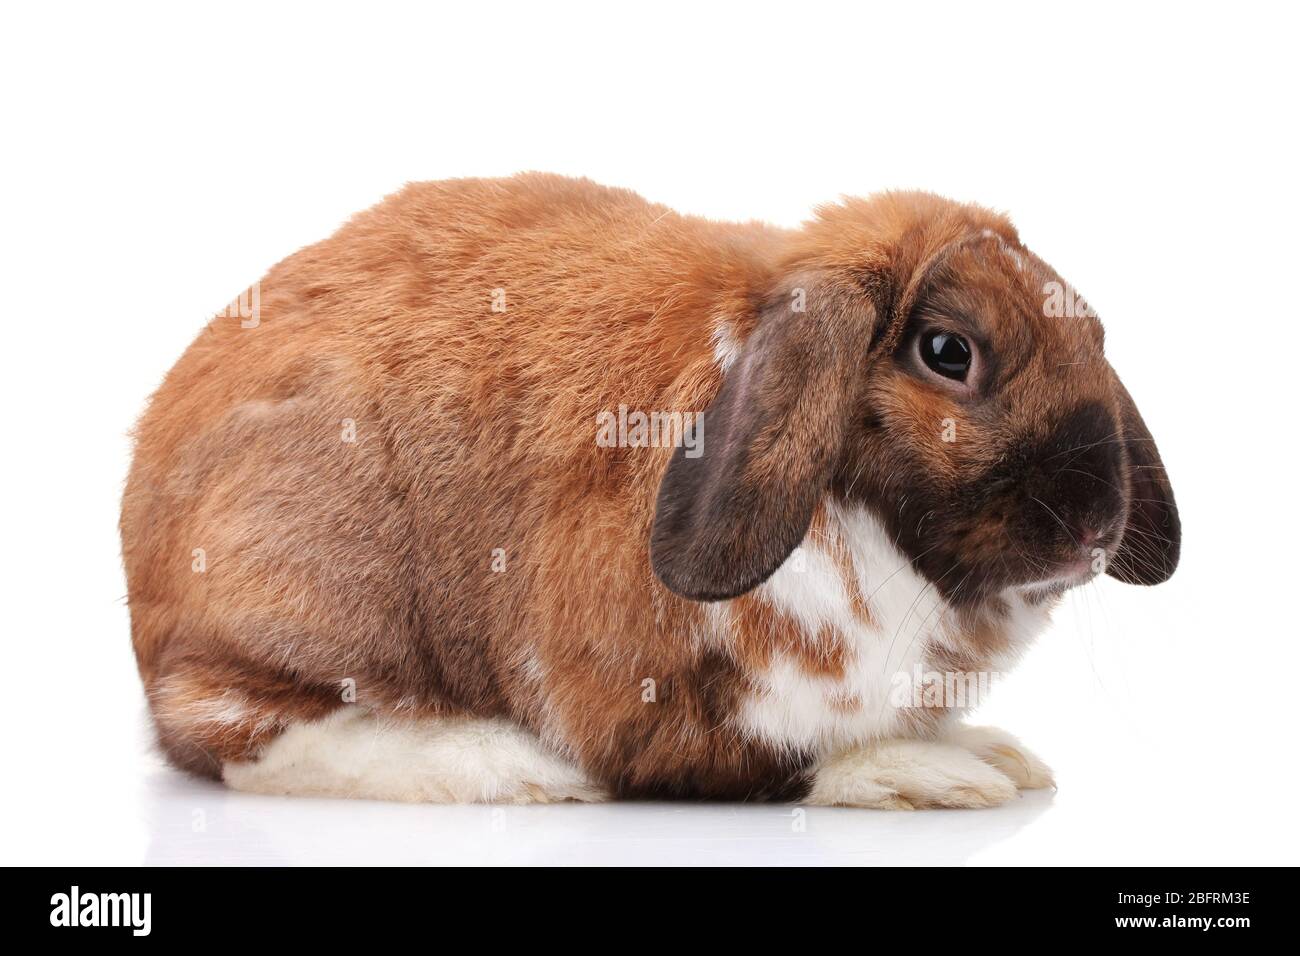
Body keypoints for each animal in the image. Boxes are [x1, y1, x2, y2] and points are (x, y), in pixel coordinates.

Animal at [121, 173, 1179, 807]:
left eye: (1093, 333)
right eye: (949, 352)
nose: (1097, 526)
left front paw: (998, 753)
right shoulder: (670, 705)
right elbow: (783, 763)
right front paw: (939, 773)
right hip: (306, 601)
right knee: (239, 738)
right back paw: (504, 767)